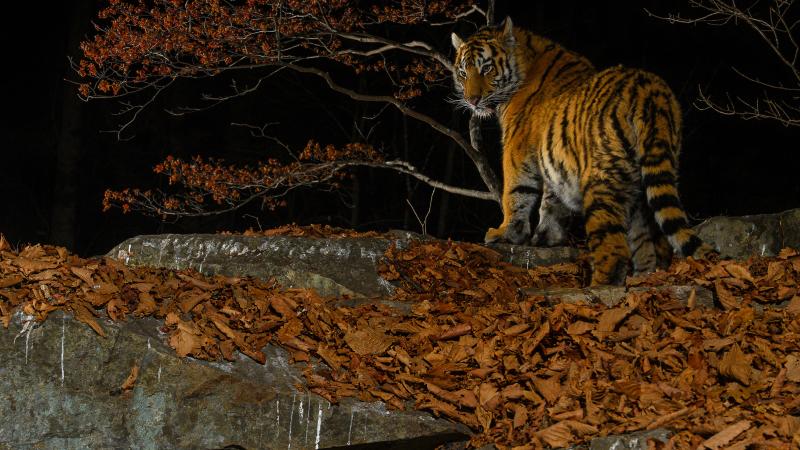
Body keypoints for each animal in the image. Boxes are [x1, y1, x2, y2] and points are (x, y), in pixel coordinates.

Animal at [451, 17, 715, 285]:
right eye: (463, 73)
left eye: (486, 69)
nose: (472, 100)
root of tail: (650, 93)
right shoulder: (556, 159)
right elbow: (552, 201)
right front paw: (547, 237)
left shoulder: (517, 149)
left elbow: (516, 194)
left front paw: (505, 232)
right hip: (646, 184)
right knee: (652, 246)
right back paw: (643, 280)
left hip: (602, 182)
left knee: (615, 250)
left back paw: (598, 287)